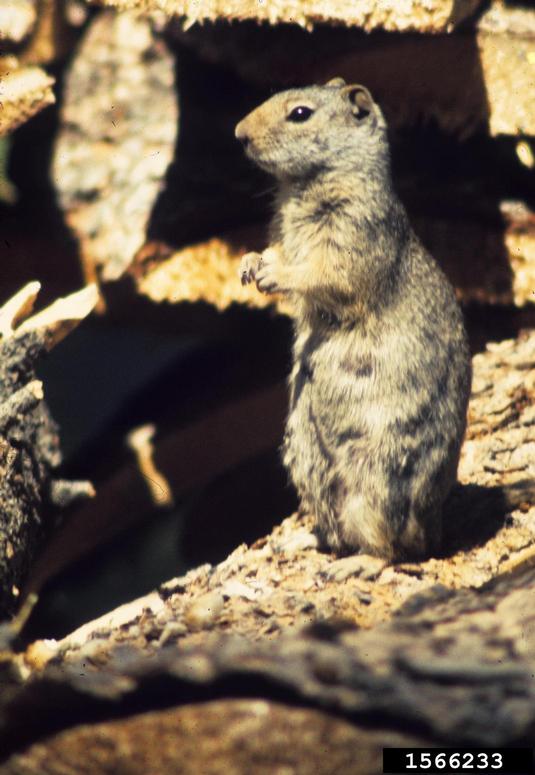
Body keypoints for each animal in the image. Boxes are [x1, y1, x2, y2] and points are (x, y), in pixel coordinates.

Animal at [236, 79, 531, 562]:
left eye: (300, 113)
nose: (239, 133)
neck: (304, 186)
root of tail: (435, 528)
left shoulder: (352, 235)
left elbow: (322, 274)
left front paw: (274, 274)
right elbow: (277, 251)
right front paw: (249, 263)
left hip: (373, 480)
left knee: (391, 549)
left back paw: (356, 563)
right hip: (307, 464)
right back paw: (308, 541)